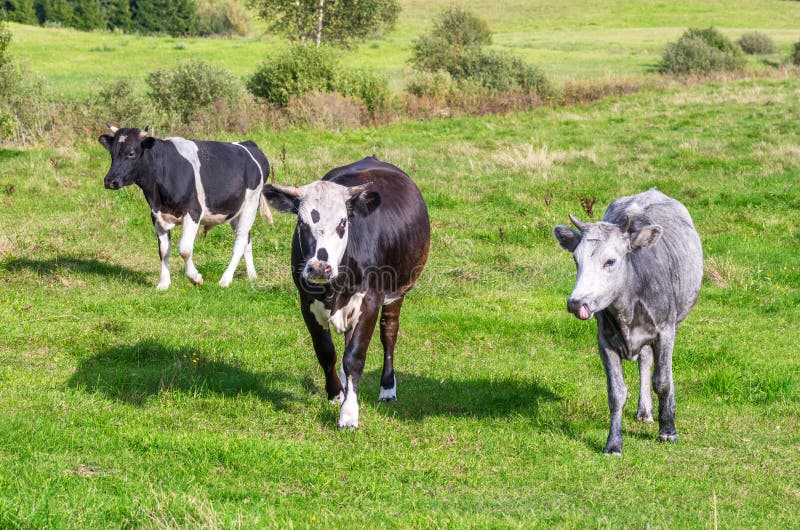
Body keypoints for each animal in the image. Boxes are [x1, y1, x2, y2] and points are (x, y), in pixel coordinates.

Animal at [98, 124, 272, 289]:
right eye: (112, 153)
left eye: (131, 153)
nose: (109, 181)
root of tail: (248, 144)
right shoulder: (156, 215)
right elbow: (163, 251)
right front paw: (163, 283)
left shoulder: (193, 212)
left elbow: (184, 249)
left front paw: (195, 278)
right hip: (235, 211)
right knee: (247, 240)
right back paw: (252, 276)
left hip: (251, 205)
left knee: (240, 242)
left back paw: (225, 280)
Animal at [264, 156, 430, 429]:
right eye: (302, 223)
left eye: (343, 222)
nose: (320, 266)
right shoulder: (306, 302)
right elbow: (326, 351)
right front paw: (335, 394)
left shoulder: (370, 301)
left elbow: (355, 356)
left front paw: (349, 413)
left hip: (398, 292)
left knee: (389, 333)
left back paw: (387, 388)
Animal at [553, 188, 703, 455]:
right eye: (576, 261)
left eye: (610, 261)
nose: (576, 302)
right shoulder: (605, 340)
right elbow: (616, 393)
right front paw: (613, 443)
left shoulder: (665, 331)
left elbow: (662, 381)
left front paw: (668, 430)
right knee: (645, 359)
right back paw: (645, 410)